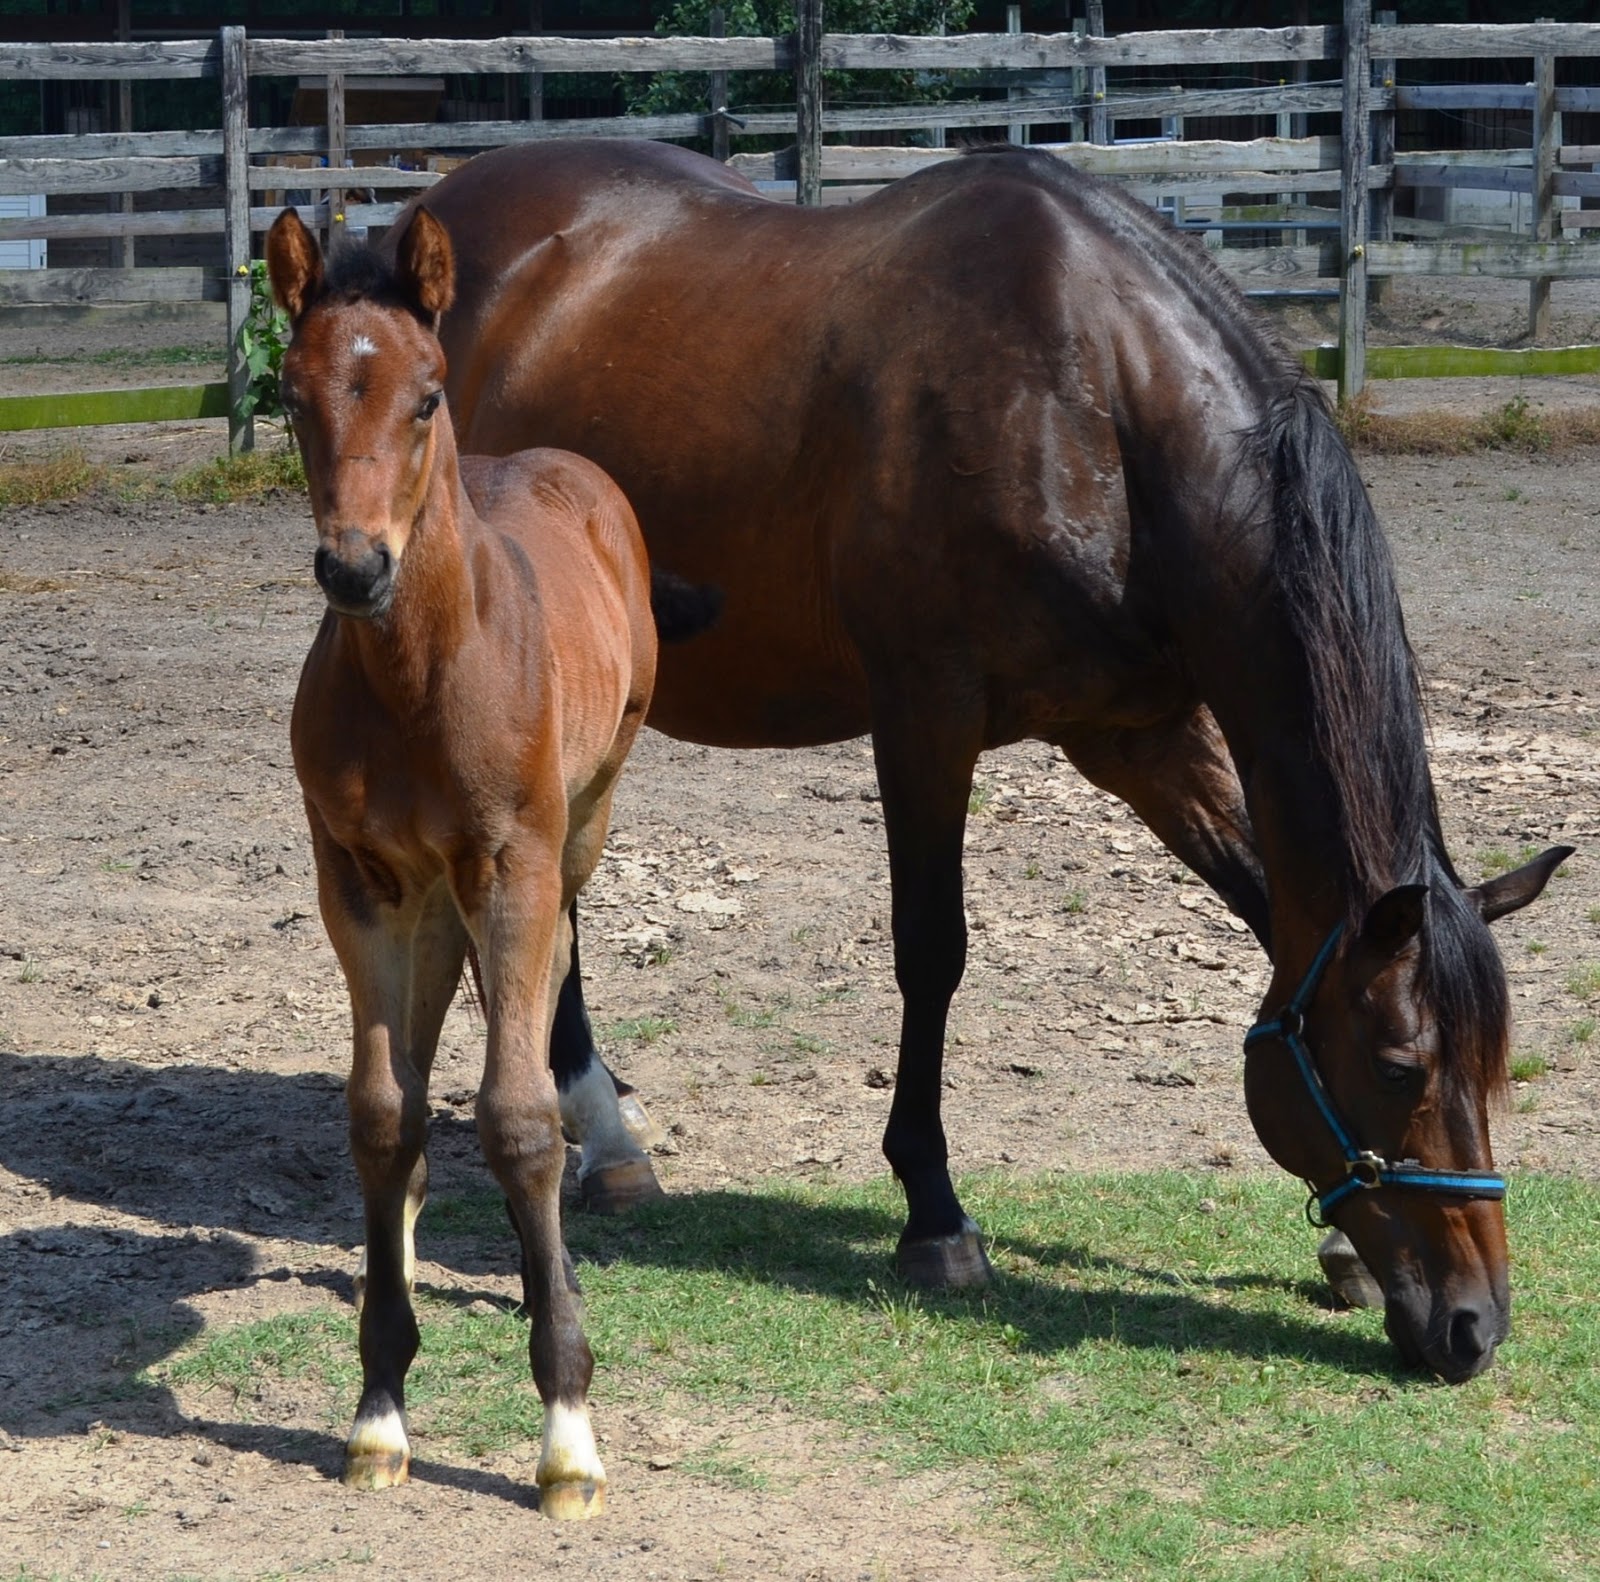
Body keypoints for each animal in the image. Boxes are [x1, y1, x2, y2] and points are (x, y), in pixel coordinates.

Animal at [266, 203, 671, 1515]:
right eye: (292, 395)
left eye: (428, 395)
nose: (355, 567)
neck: (416, 681)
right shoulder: (356, 882)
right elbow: (383, 1109)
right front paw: (379, 1403)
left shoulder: (515, 865)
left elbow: (518, 1115)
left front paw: (568, 1432)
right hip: (430, 896)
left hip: (577, 825)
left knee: (545, 994)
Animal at [406, 138, 1568, 1384]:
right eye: (1398, 1067)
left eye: (1494, 1066)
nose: (1473, 1325)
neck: (1094, 404)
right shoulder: (926, 712)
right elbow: (933, 950)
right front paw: (933, 1212)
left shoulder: (1141, 736)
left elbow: (1271, 920)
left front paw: (1340, 1247)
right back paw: (602, 1136)